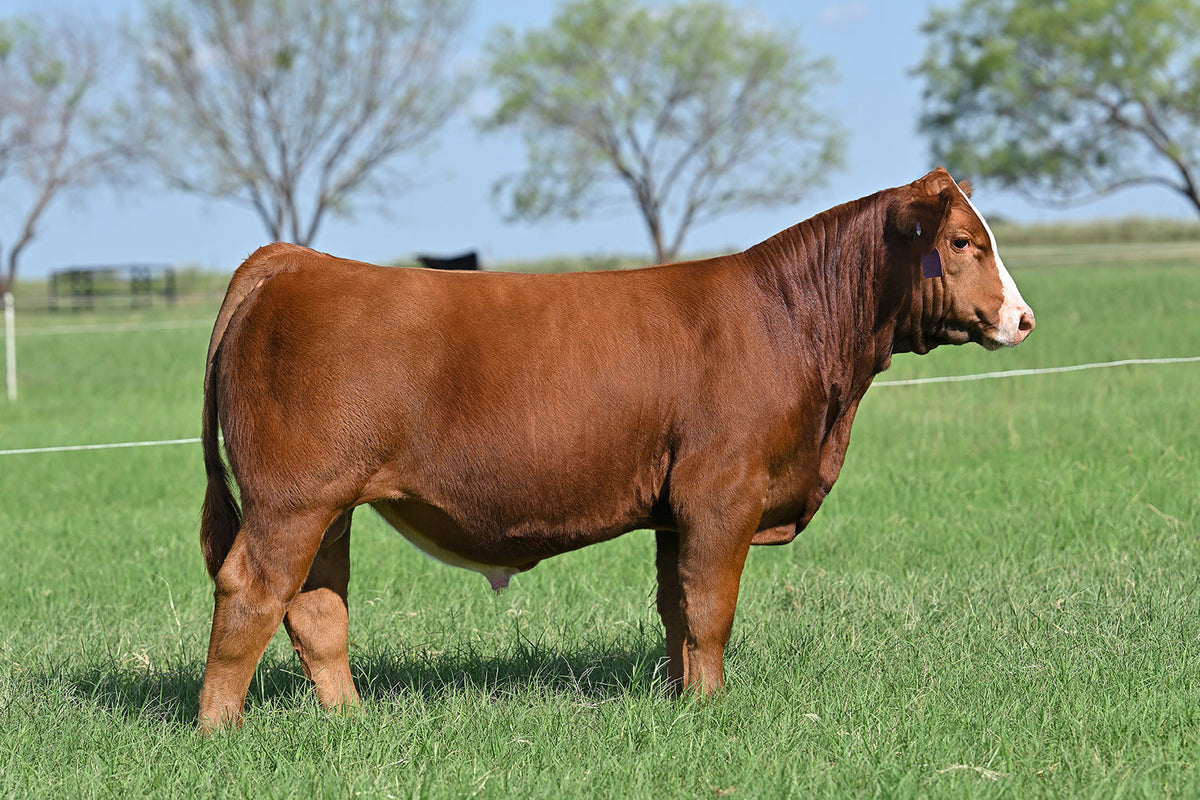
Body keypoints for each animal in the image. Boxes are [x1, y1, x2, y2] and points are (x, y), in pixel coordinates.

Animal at [196, 167, 1034, 732]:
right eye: (962, 241)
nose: (1024, 319)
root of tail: (294, 258)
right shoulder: (722, 492)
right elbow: (710, 608)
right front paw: (711, 708)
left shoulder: (676, 510)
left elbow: (676, 608)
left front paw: (683, 697)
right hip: (291, 500)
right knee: (251, 591)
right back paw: (219, 730)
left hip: (329, 506)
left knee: (315, 606)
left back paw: (349, 721)